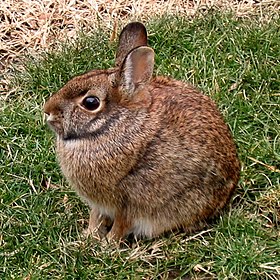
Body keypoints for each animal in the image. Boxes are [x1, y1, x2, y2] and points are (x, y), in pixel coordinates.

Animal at [44, 21, 241, 242]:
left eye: (91, 103)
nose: (48, 111)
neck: (112, 126)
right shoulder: (100, 205)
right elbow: (96, 217)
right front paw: (88, 237)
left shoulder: (130, 202)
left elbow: (121, 225)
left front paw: (108, 244)